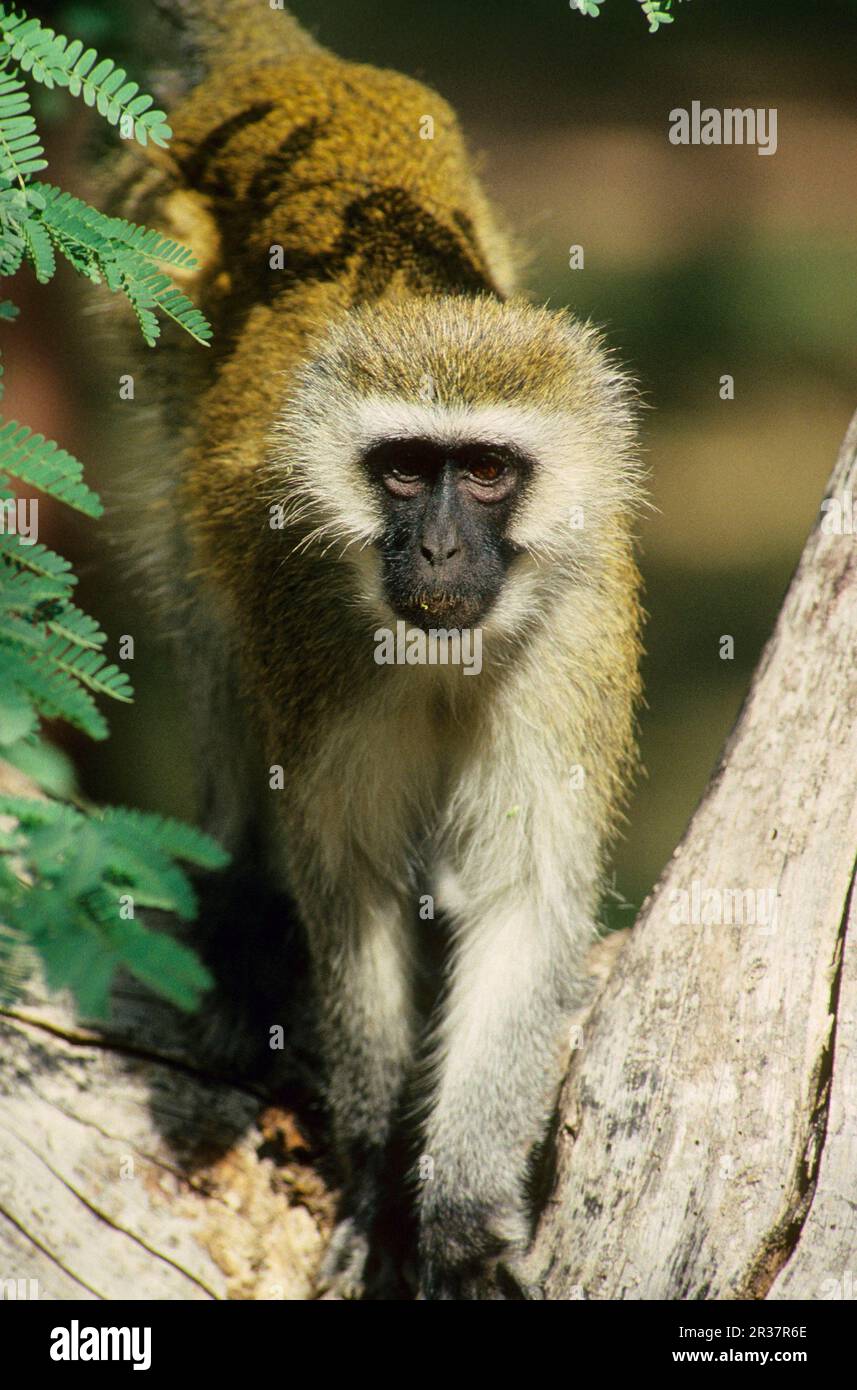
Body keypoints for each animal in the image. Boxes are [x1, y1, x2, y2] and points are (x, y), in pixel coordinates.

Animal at [112, 0, 645, 1299]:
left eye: (487, 470)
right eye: (405, 471)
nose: (442, 547)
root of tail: (304, 78)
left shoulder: (575, 633)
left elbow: (524, 900)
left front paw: (454, 1209)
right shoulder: (310, 619)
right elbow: (345, 882)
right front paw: (371, 1167)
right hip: (161, 282)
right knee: (201, 599)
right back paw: (240, 902)